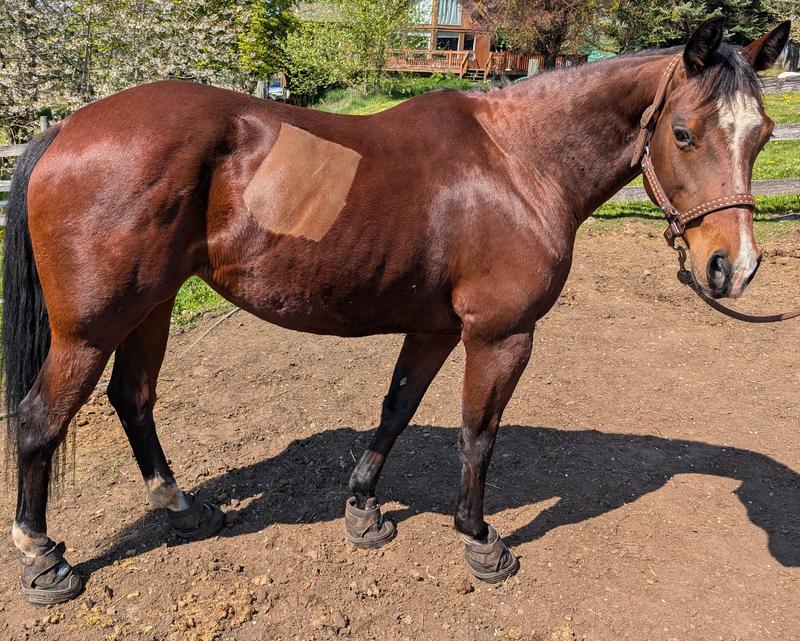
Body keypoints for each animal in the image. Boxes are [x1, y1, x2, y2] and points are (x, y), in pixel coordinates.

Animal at [2, 17, 789, 603]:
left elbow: (396, 409)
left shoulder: (434, 328)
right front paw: (480, 539)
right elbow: (478, 434)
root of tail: (67, 129)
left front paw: (363, 510)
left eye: (761, 134)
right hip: (91, 327)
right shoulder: (501, 335)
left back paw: (181, 507)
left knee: (133, 398)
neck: (516, 161)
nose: (733, 266)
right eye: (683, 133)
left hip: (152, 306)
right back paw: (44, 558)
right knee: (41, 418)